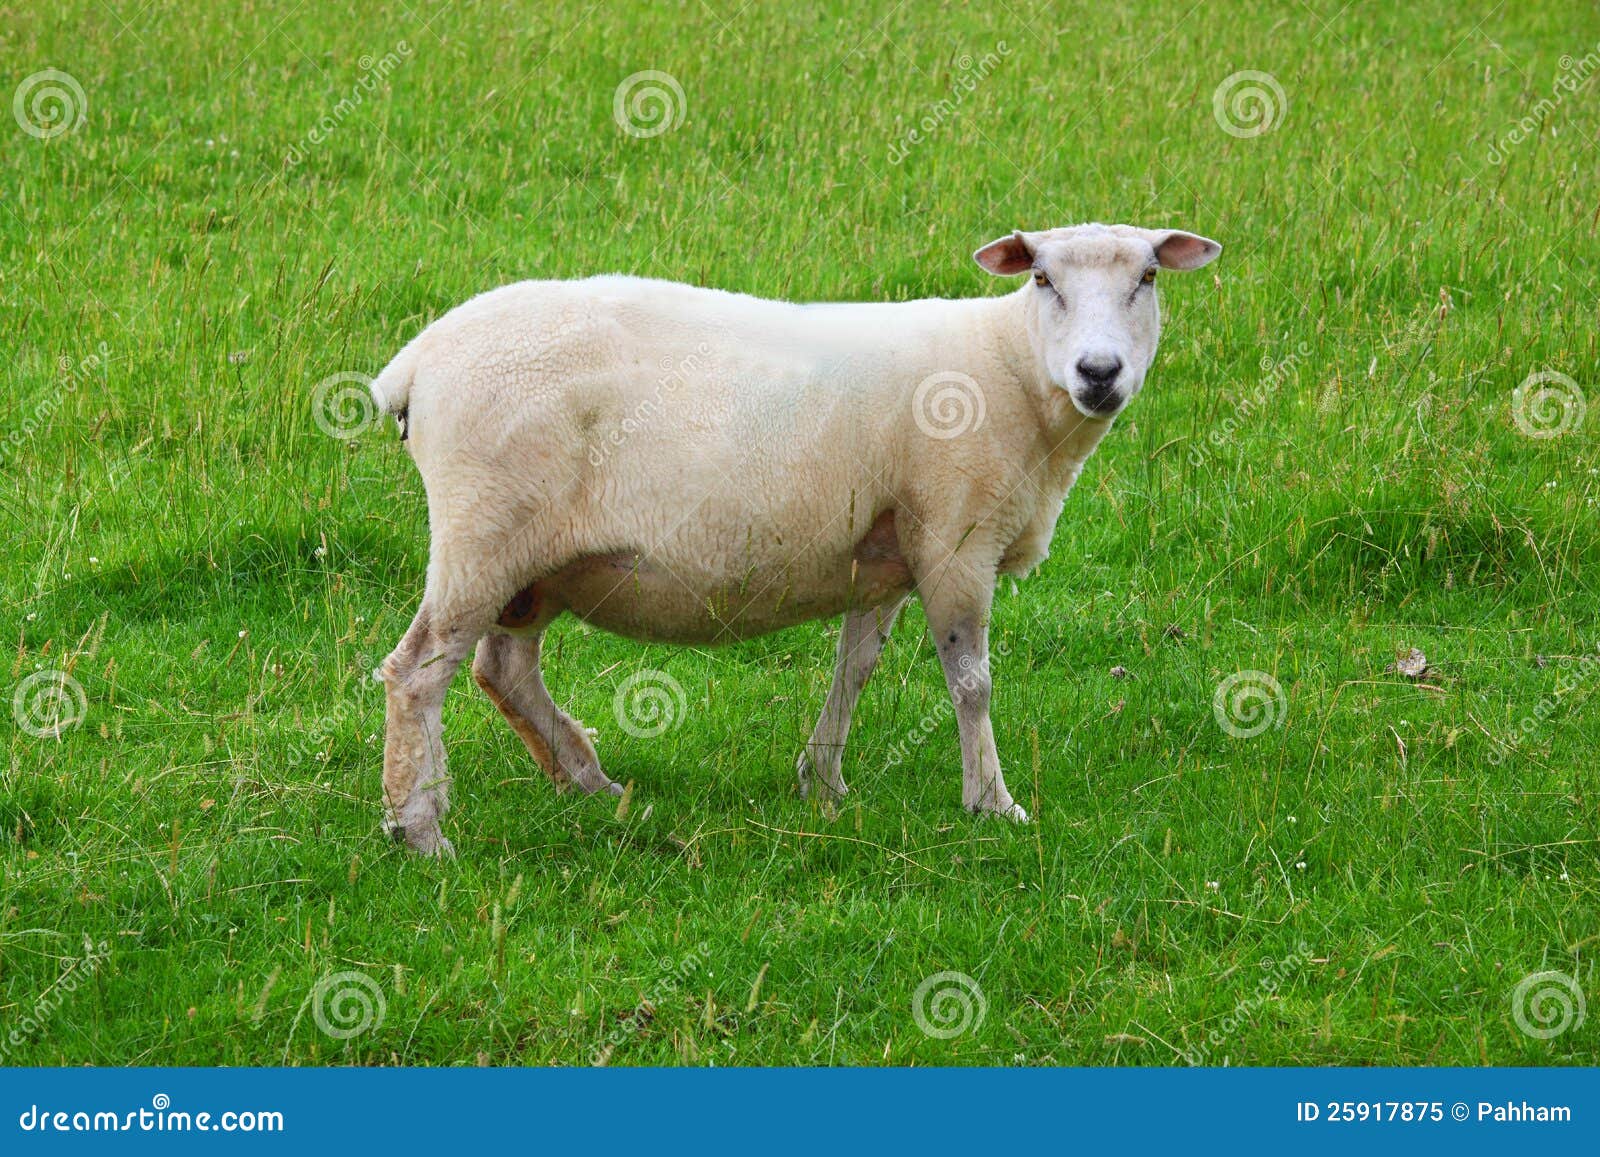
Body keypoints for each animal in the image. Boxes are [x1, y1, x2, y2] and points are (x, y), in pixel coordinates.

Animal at [369, 222, 1221, 856]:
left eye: (1148, 276)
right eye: (1043, 278)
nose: (1099, 372)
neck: (1010, 367)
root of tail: (415, 363)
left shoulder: (885, 554)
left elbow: (856, 667)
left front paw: (823, 781)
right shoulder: (955, 537)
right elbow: (971, 682)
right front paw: (992, 802)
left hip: (536, 558)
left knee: (503, 669)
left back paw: (588, 781)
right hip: (484, 530)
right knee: (418, 672)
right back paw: (421, 828)